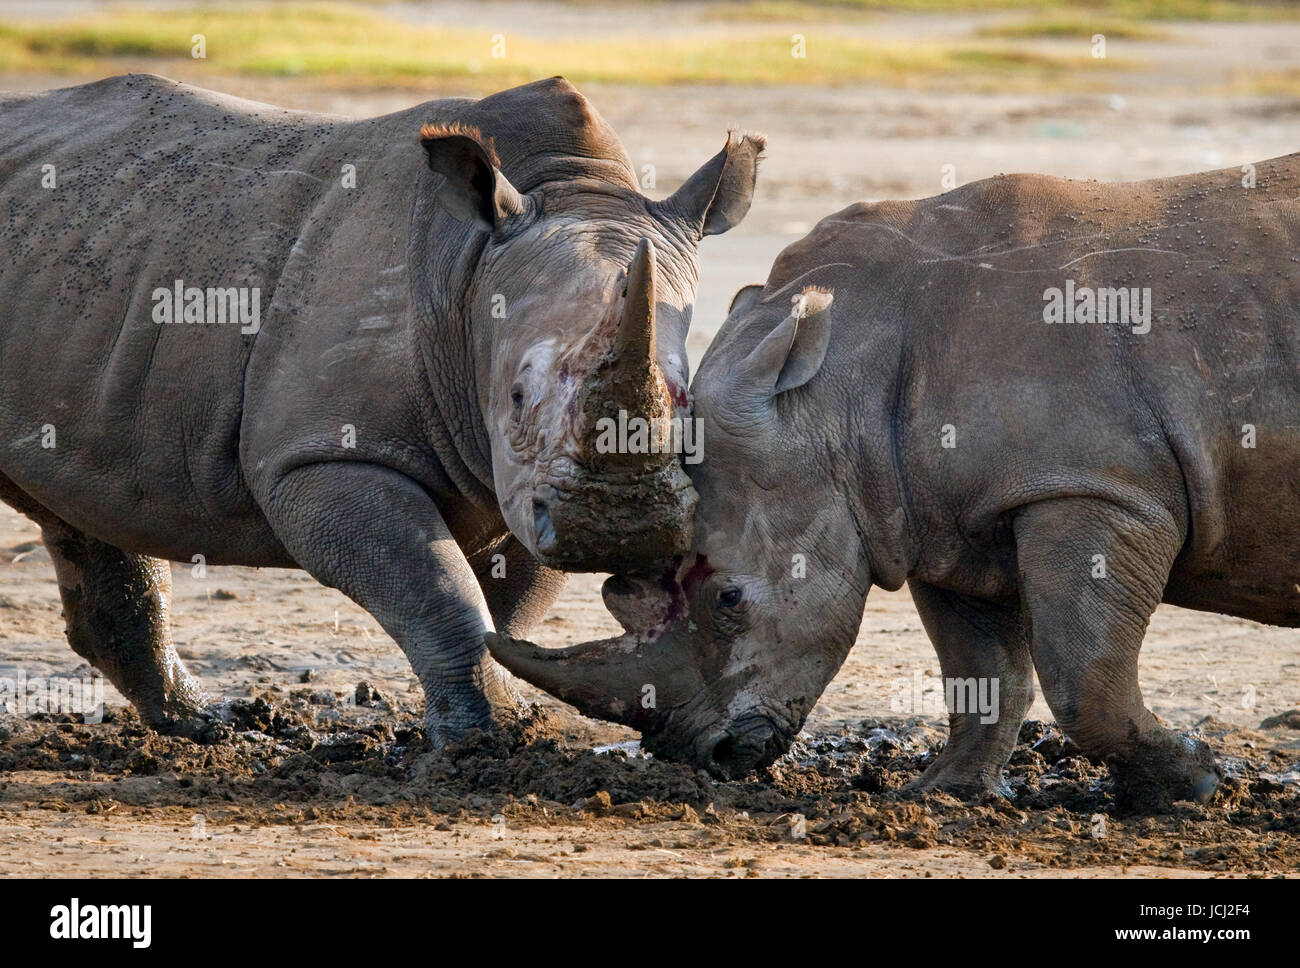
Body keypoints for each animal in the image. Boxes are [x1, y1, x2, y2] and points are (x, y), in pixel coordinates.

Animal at [0, 74, 763, 743]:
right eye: (517, 397)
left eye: (686, 404)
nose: (623, 530)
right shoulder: (325, 455)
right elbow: (436, 587)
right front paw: (488, 738)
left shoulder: (530, 488)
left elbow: (506, 607)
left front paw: (503, 710)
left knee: (82, 500)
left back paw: (209, 729)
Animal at [490, 153, 1300, 810]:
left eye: (729, 600)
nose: (700, 755)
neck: (835, 385)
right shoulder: (949, 518)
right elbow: (984, 671)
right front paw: (943, 794)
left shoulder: (1093, 487)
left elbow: (1082, 672)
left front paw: (1192, 785)